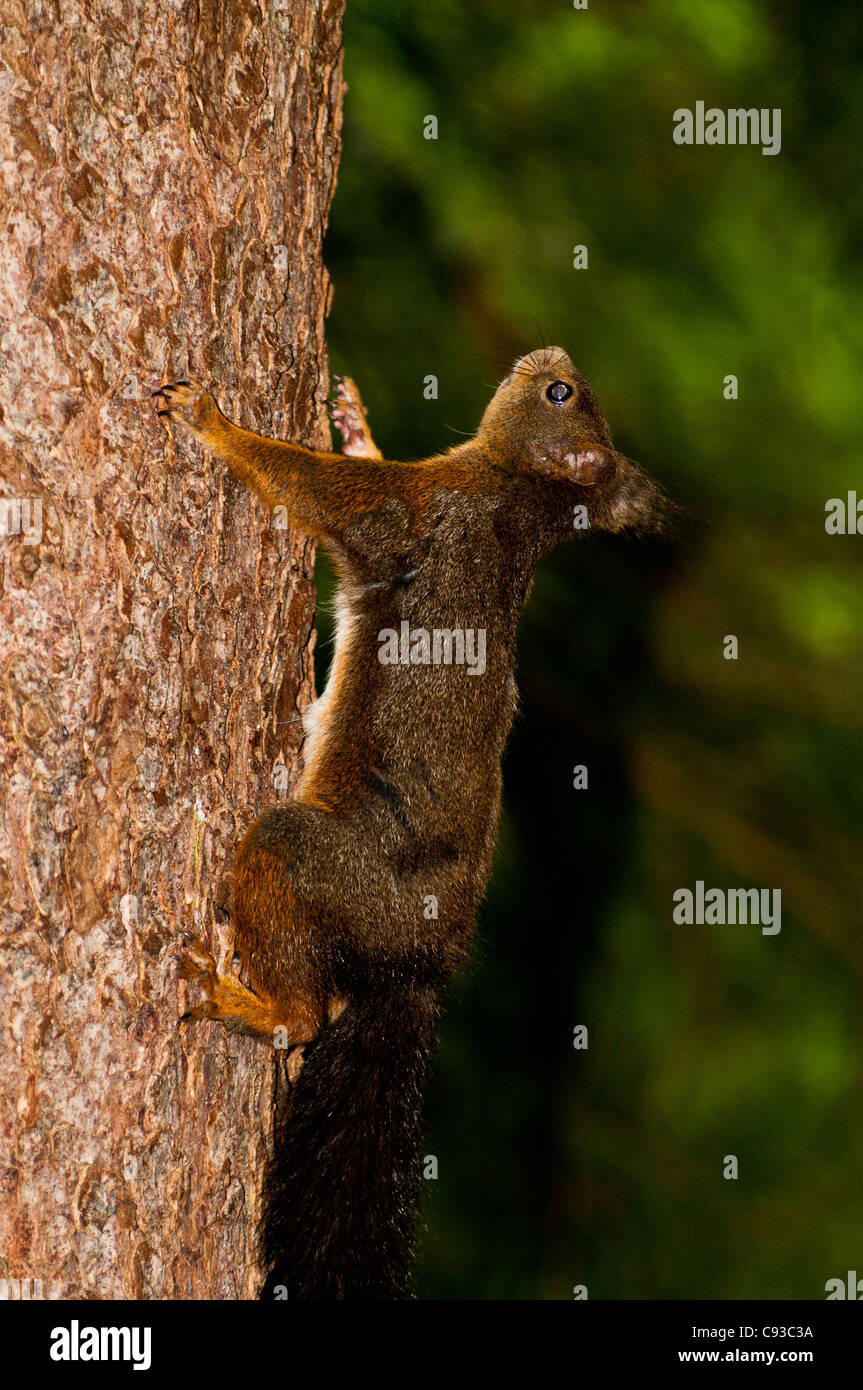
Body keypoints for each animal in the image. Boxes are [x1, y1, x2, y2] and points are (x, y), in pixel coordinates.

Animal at [153, 347, 675, 1300]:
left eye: (559, 395)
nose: (548, 356)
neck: (517, 500)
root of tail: (418, 963)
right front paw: (353, 421)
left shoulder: (415, 509)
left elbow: (309, 485)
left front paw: (210, 420)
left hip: (314, 861)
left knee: (306, 1011)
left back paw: (244, 1001)